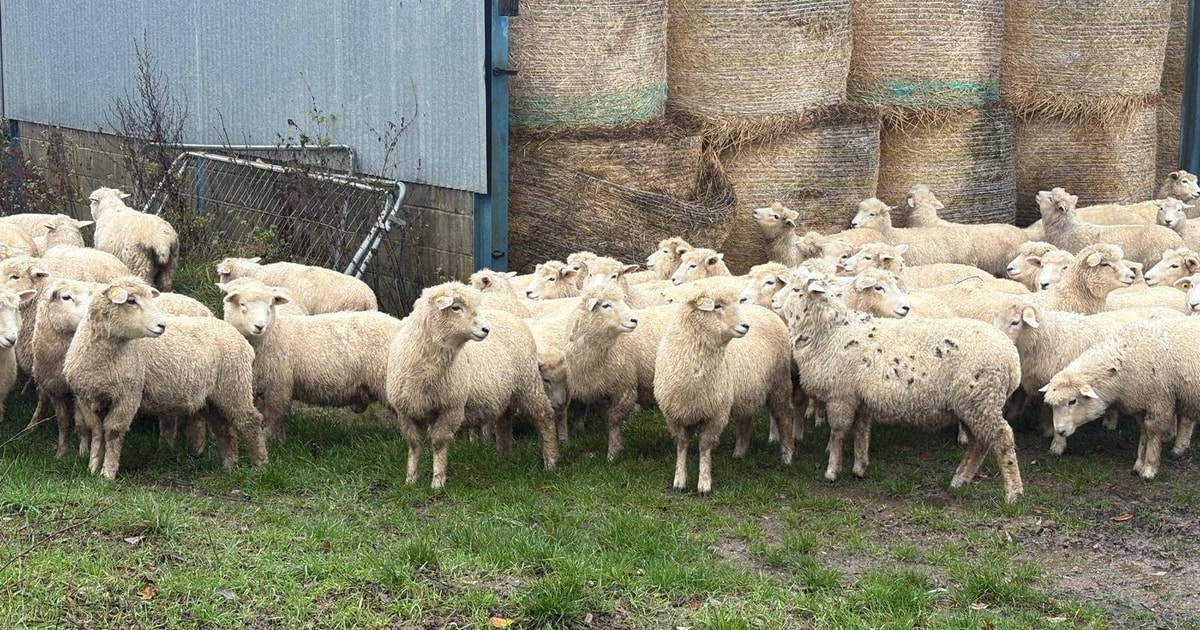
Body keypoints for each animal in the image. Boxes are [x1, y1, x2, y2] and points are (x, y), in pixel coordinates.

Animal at [63, 276, 268, 480]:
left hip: (235, 385)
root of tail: (241, 338)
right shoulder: (85, 397)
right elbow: (97, 431)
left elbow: (113, 431)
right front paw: (92, 468)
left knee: (251, 420)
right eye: (131, 301)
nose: (162, 325)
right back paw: (229, 465)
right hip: (212, 397)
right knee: (224, 428)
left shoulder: (128, 395)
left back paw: (260, 463)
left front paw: (107, 473)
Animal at [220, 277, 404, 441]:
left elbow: (272, 419)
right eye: (242, 304)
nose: (260, 326)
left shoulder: (278, 387)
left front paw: (271, 441)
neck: (273, 335)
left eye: (270, 305)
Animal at [385, 282, 558, 490]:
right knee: (504, 419)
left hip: (528, 382)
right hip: (508, 391)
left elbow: (439, 442)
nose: (486, 329)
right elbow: (414, 444)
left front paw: (438, 481)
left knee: (544, 416)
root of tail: (514, 318)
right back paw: (504, 454)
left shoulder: (451, 408)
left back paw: (550, 461)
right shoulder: (405, 411)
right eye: (455, 307)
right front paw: (410, 479)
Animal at [785, 278, 1024, 503]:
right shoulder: (858, 398)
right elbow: (861, 431)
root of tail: (1013, 361)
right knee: (979, 443)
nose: (778, 304)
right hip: (970, 403)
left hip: (981, 399)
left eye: (796, 289)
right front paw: (859, 467)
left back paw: (1012, 493)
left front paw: (832, 471)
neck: (831, 331)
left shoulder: (840, 396)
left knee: (1002, 438)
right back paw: (960, 479)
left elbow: (838, 433)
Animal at [1041, 317, 1200, 478]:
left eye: (1072, 401)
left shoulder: (1159, 402)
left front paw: (1149, 468)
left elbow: (1152, 432)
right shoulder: (1140, 404)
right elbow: (1144, 432)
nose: (1060, 431)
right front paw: (1138, 465)